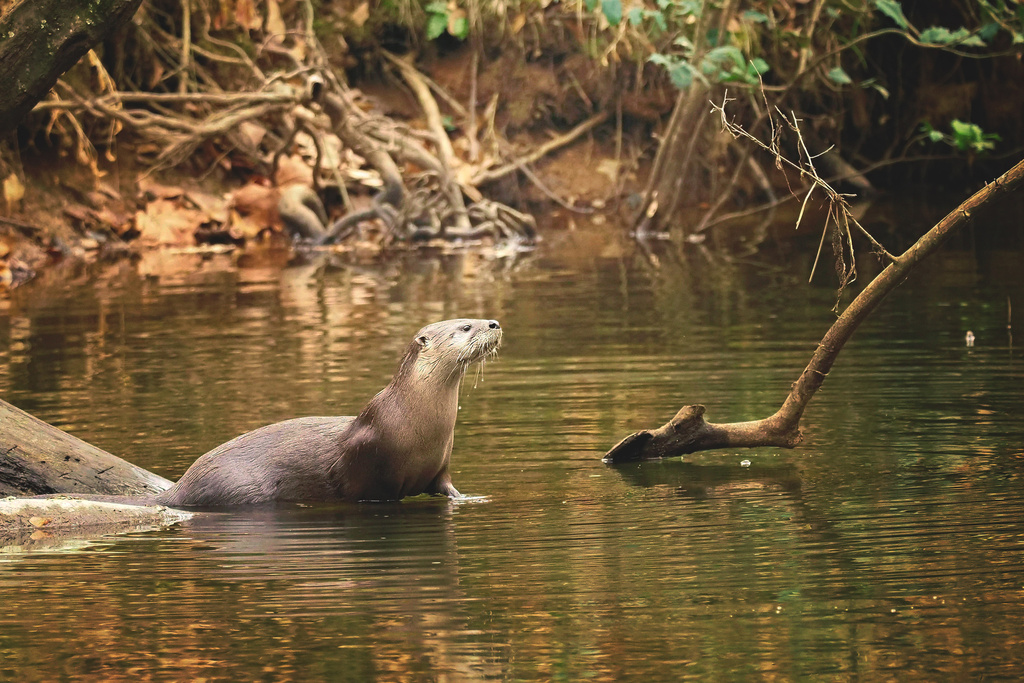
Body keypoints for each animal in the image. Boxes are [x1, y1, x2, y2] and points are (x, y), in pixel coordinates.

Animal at [151, 318, 501, 506]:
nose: (494, 323)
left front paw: (468, 498)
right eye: (466, 326)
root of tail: (179, 487)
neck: (416, 423)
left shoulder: (440, 466)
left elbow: (447, 487)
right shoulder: (370, 468)